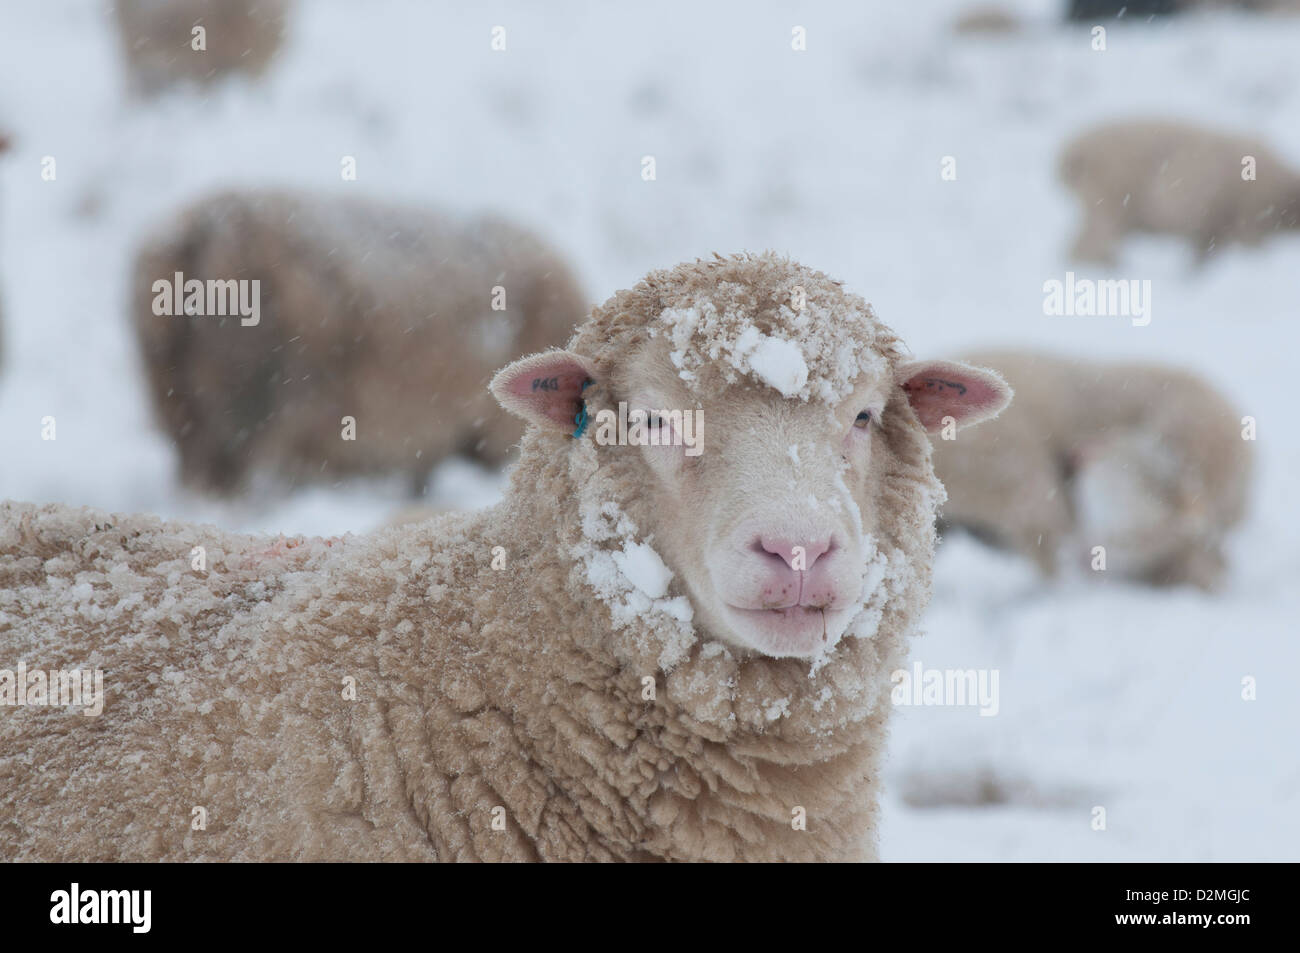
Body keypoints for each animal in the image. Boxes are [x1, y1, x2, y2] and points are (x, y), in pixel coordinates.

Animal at [1059, 119, 1300, 264]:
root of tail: (1071, 154)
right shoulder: (1249, 215)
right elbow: (1250, 244)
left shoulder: (1215, 226)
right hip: (1111, 192)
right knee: (1094, 238)